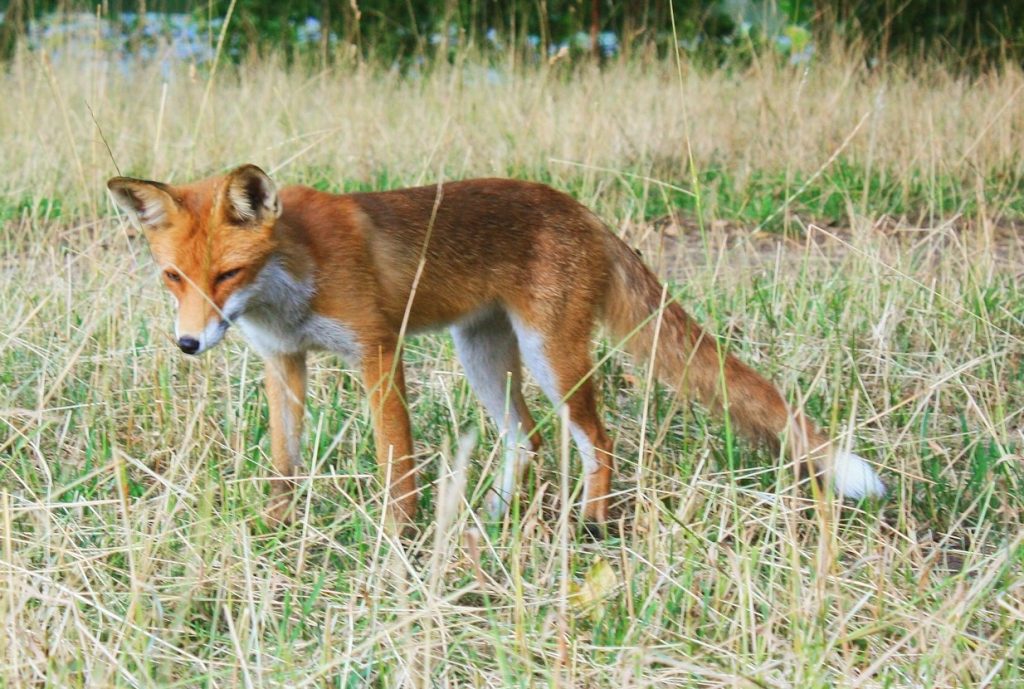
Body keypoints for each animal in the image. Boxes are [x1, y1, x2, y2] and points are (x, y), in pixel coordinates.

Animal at [106, 164, 885, 527]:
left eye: (227, 274)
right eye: (174, 276)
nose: (188, 342)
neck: (293, 279)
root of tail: (581, 209)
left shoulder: (377, 352)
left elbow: (397, 462)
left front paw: (400, 540)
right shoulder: (284, 362)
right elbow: (283, 466)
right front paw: (276, 531)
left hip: (551, 359)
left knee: (598, 441)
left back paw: (592, 525)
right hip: (481, 356)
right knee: (528, 441)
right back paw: (490, 519)